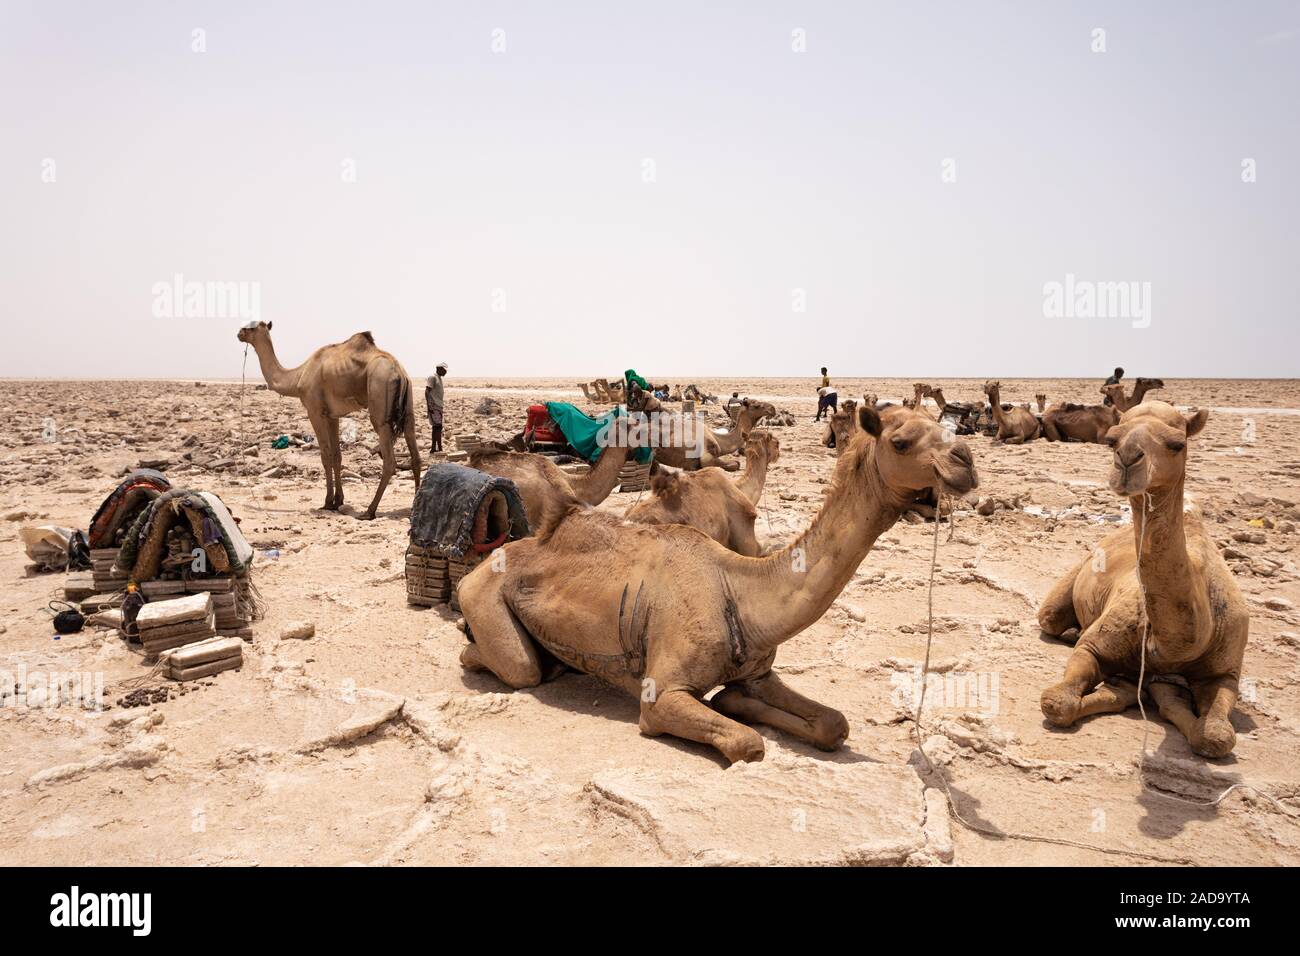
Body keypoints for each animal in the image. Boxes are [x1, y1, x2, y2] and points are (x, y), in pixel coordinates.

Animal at [236, 322, 420, 519]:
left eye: (252, 327)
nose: (239, 333)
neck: (298, 376)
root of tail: (399, 371)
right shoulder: (332, 416)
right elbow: (336, 456)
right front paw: (338, 501)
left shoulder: (314, 411)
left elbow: (325, 455)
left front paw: (327, 502)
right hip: (408, 405)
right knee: (415, 453)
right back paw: (415, 505)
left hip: (379, 398)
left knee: (389, 461)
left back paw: (369, 511)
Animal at [1037, 403, 1248, 757]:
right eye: (1111, 439)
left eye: (1178, 443)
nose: (1127, 460)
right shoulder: (1095, 645)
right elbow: (1057, 701)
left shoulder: (1226, 671)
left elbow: (1216, 735)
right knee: (1050, 618)